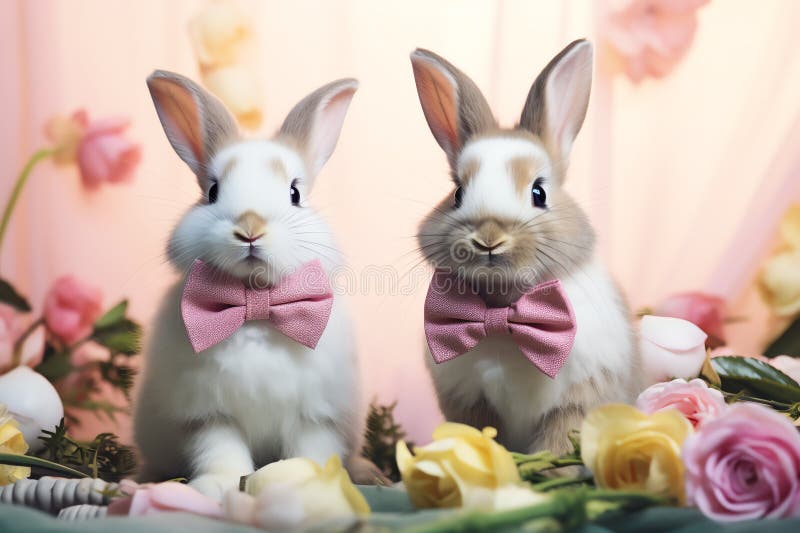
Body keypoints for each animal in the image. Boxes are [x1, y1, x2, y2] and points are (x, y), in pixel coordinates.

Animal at [133, 70, 380, 499]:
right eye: (212, 191)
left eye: (295, 193)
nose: (250, 227)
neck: (256, 309)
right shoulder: (209, 414)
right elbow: (220, 451)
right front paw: (215, 487)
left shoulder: (318, 417)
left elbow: (313, 450)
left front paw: (307, 483)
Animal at [410, 40, 641, 456]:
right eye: (457, 193)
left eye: (539, 192)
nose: (489, 238)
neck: (504, 313)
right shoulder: (469, 402)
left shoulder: (577, 401)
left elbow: (557, 447)